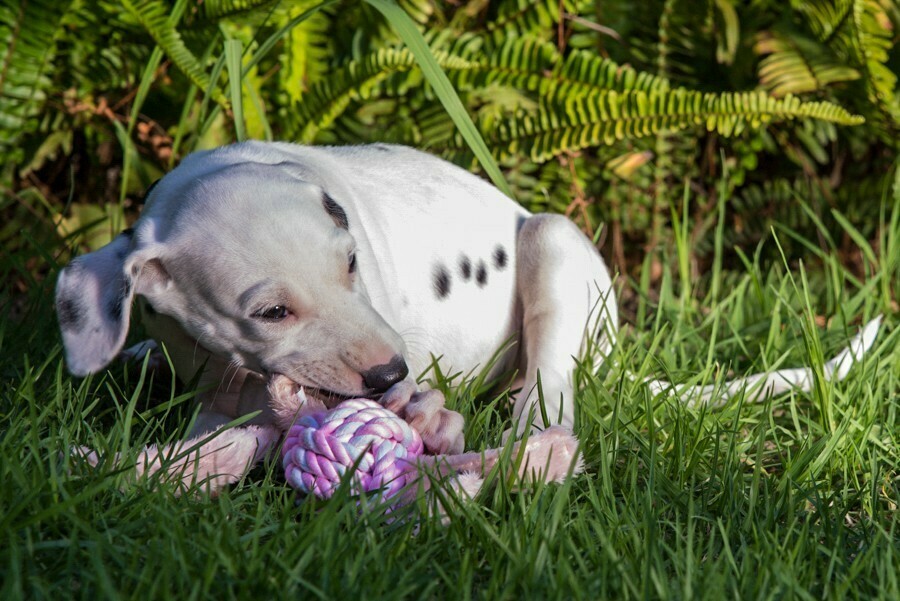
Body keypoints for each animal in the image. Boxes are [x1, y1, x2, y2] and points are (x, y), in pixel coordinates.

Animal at [54, 142, 880, 492]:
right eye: (272, 310)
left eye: (350, 263)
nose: (392, 375)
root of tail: (611, 350)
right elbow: (213, 425)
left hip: (555, 249)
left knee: (549, 399)